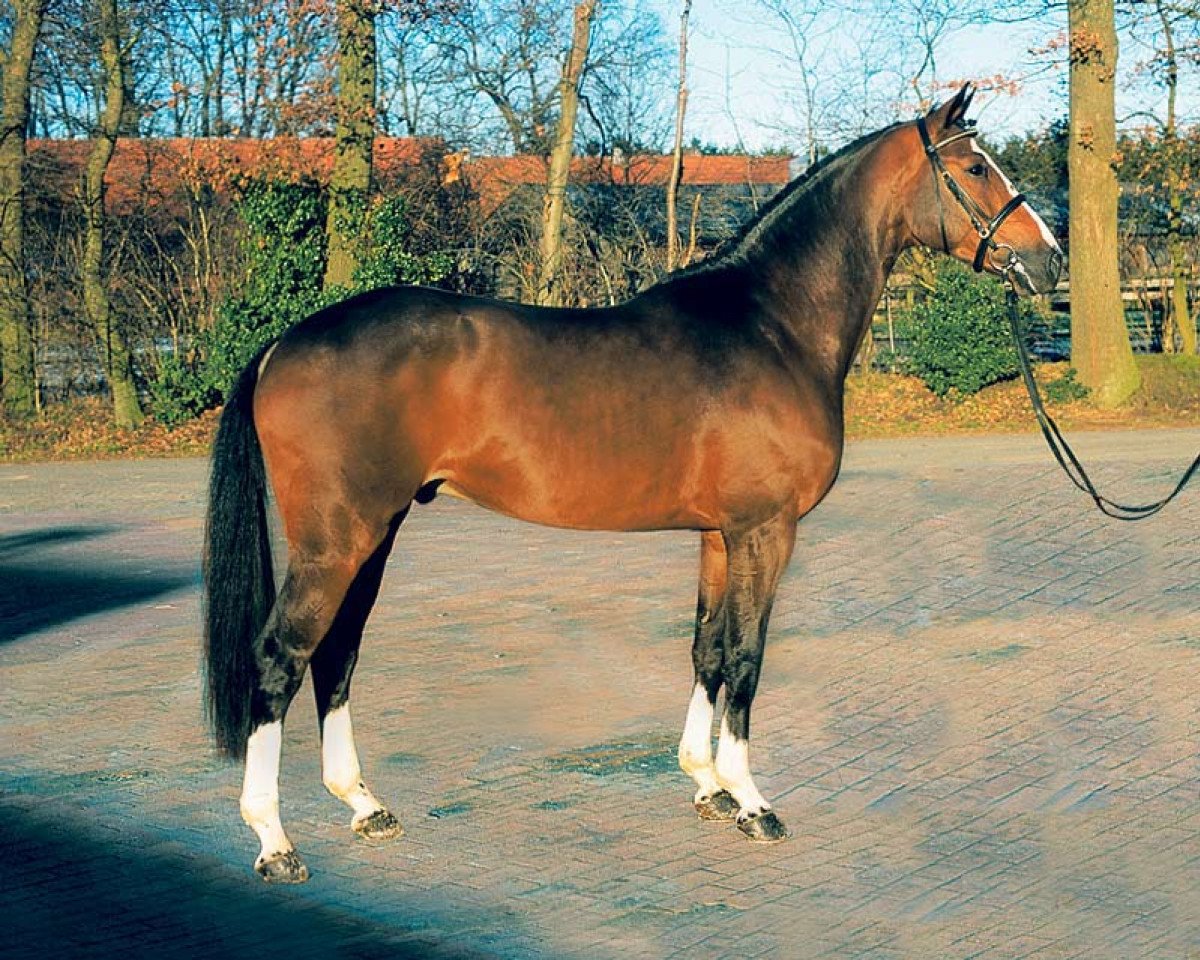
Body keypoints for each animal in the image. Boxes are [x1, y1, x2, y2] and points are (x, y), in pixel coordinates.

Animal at [203, 85, 1063, 883]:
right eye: (974, 168)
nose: (1050, 259)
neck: (772, 324)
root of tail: (282, 344)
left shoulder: (720, 535)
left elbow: (707, 649)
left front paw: (707, 784)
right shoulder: (766, 530)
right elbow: (747, 657)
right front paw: (753, 802)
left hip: (373, 534)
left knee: (337, 654)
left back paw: (364, 805)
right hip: (337, 539)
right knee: (282, 657)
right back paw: (274, 840)